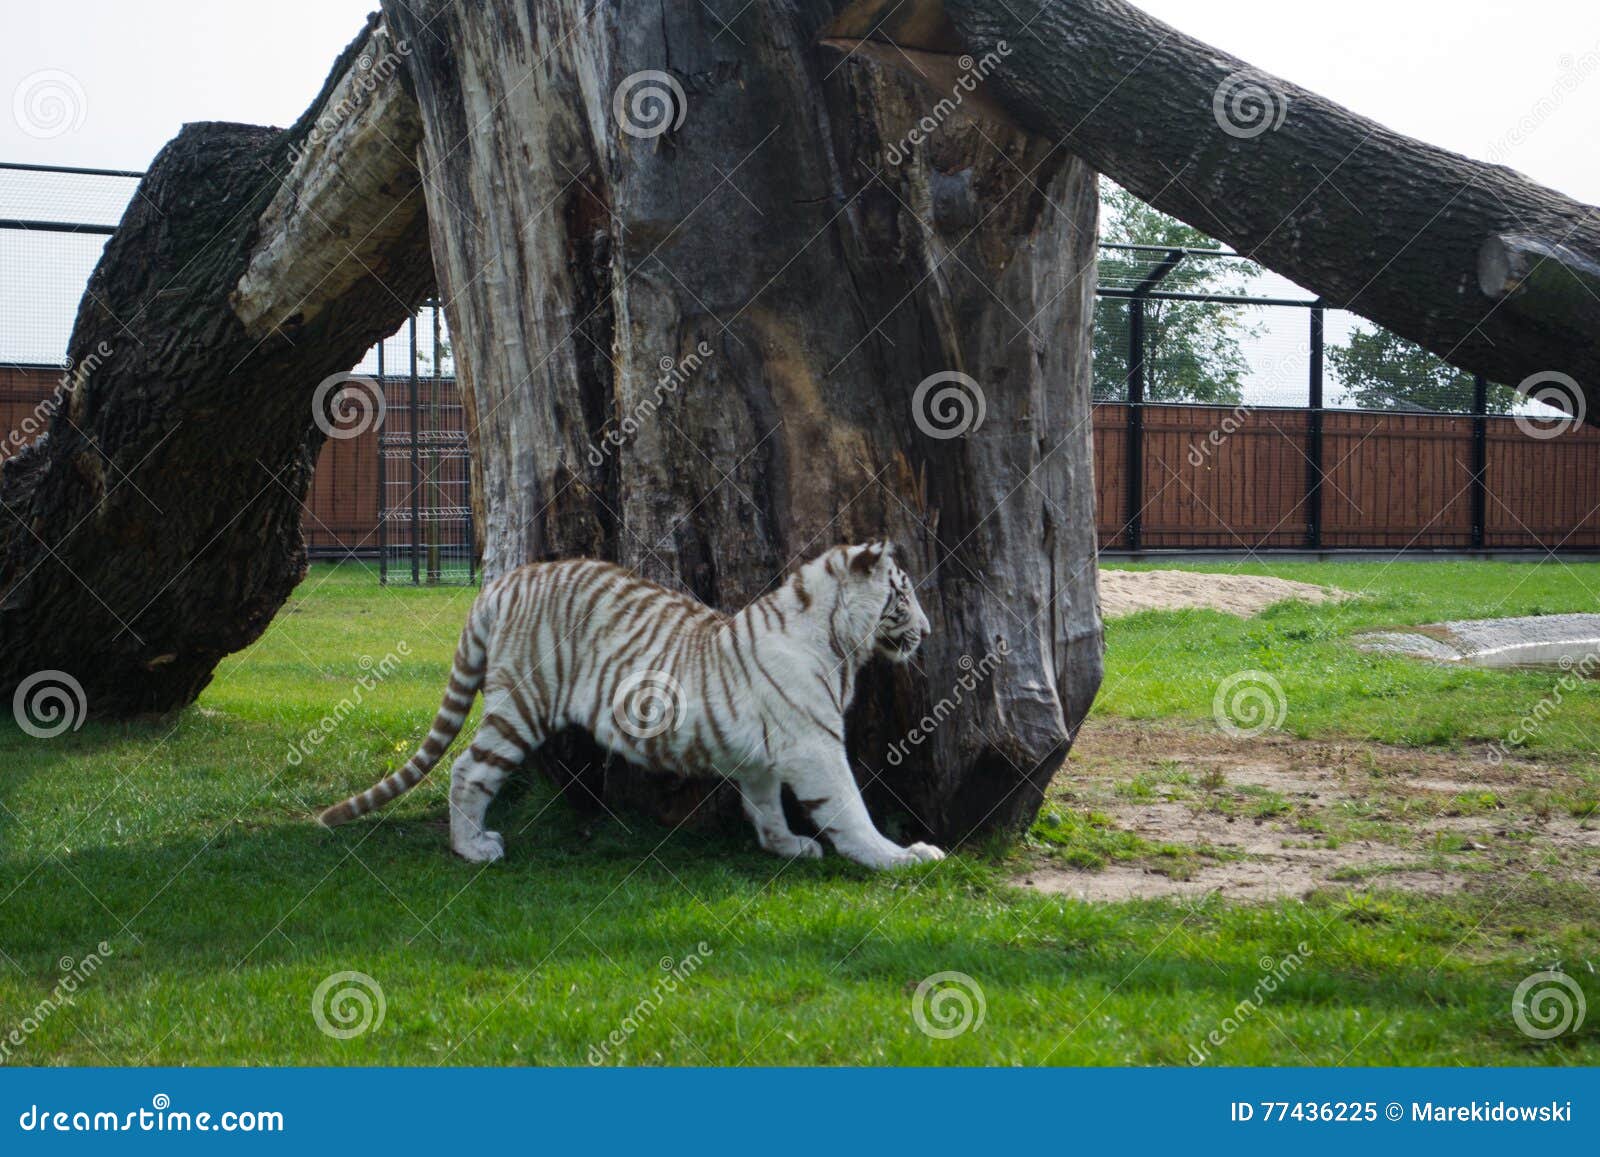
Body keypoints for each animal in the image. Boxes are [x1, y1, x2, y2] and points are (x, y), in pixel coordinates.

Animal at [317, 542, 946, 869]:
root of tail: (501, 583)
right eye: (903, 594)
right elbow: (849, 808)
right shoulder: (814, 744)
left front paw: (785, 845)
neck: (838, 640)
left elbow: (765, 804)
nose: (927, 630)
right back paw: (472, 848)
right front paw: (901, 856)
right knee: (468, 770)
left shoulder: (762, 756)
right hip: (521, 703)